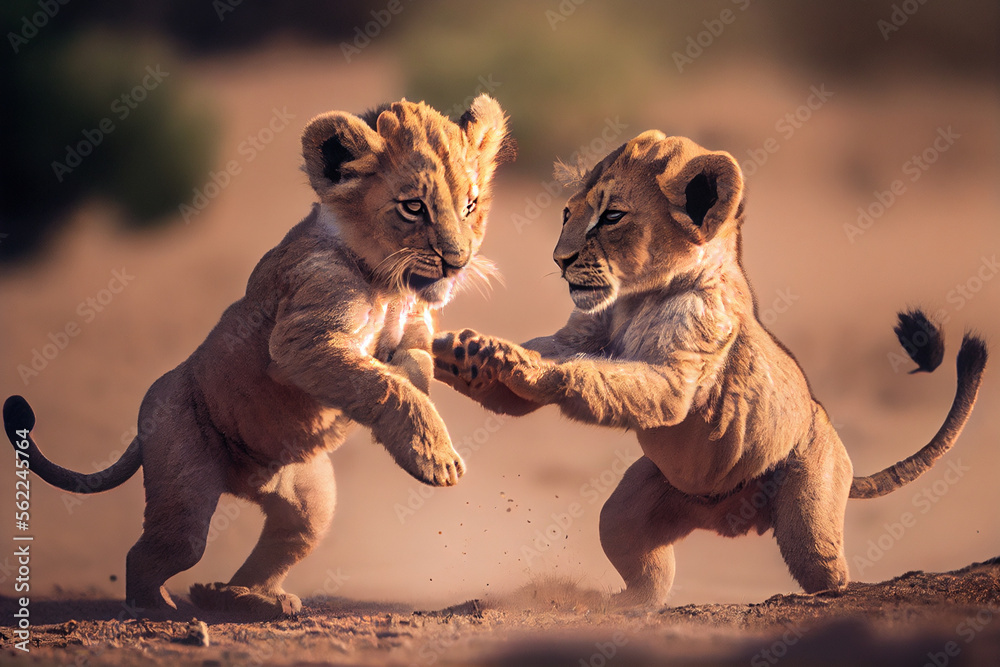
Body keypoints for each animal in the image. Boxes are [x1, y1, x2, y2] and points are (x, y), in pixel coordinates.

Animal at [3, 94, 513, 617]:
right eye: (413, 208)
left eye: (470, 205)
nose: (457, 261)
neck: (391, 288)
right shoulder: (301, 339)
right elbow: (383, 383)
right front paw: (435, 459)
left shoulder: (411, 331)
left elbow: (412, 368)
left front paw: (421, 398)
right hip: (181, 473)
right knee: (160, 548)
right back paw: (160, 609)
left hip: (309, 498)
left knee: (294, 533)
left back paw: (242, 598)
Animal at [432, 131, 988, 605]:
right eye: (567, 213)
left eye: (611, 217)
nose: (560, 258)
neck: (636, 300)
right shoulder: (582, 332)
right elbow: (558, 358)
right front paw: (461, 354)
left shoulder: (676, 375)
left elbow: (593, 375)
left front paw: (516, 363)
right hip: (634, 508)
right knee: (642, 567)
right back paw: (616, 603)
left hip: (810, 507)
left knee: (826, 569)